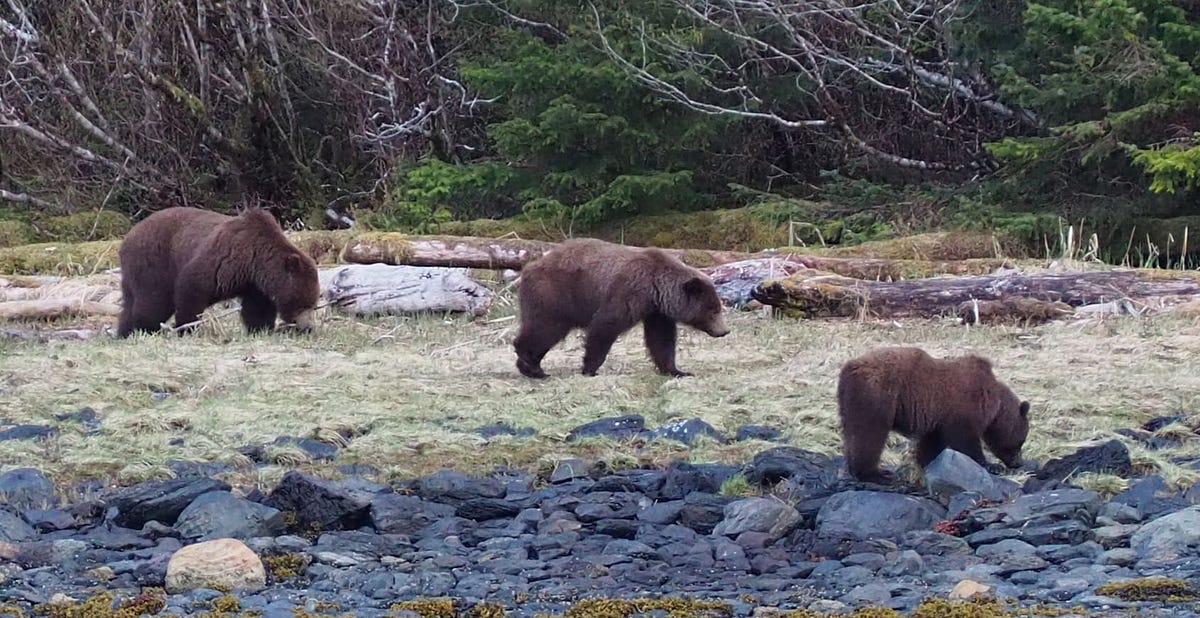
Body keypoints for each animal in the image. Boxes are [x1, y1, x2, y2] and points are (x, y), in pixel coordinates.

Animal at [116, 206, 320, 338]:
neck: (255, 262)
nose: (308, 327)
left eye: (313, 303)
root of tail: (127, 238)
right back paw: (146, 328)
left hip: (132, 274)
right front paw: (186, 327)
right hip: (154, 262)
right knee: (153, 301)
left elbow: (257, 308)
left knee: (130, 302)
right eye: (302, 303)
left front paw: (261, 328)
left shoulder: (254, 285)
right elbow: (192, 287)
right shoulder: (224, 260)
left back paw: (124, 332)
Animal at [513, 237, 730, 378]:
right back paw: (532, 365)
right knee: (545, 328)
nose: (724, 331)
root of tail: (529, 267)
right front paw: (590, 368)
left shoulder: (656, 311)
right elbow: (606, 325)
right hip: (555, 294)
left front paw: (677, 370)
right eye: (713, 310)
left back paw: (532, 367)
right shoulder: (629, 291)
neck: (656, 287)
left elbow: (661, 339)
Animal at [836, 346, 1030, 483]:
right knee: (869, 433)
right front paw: (991, 465)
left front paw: (926, 462)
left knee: (853, 431)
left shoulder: (938, 417)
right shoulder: (964, 406)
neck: (995, 406)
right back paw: (875, 474)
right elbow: (965, 440)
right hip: (878, 394)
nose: (1018, 463)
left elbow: (932, 442)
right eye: (1021, 441)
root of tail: (850, 367)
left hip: (850, 401)